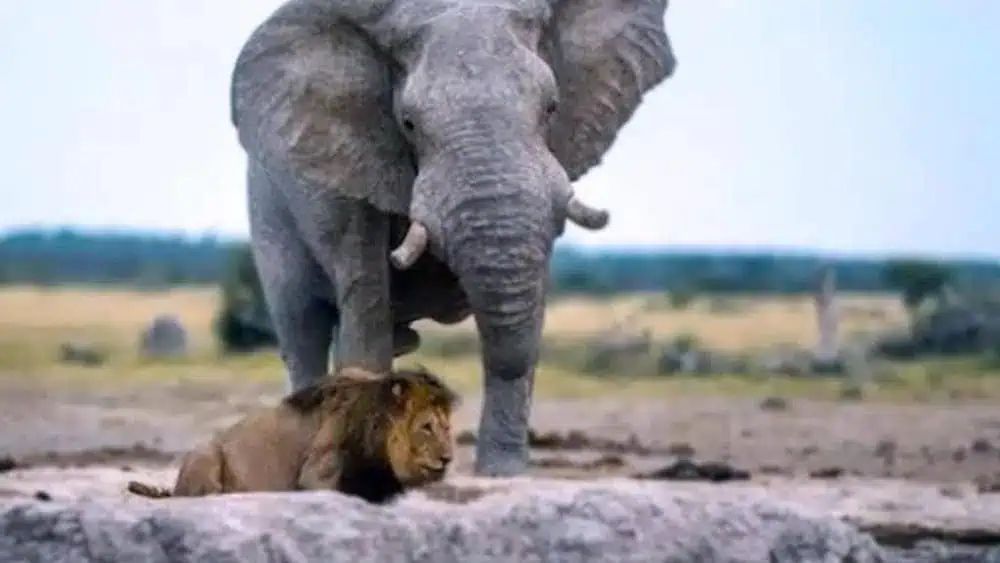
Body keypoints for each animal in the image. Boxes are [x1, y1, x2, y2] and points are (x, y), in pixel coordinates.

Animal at [125, 365, 459, 505]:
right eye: (426, 427)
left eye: (446, 428)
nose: (447, 459)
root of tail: (175, 487)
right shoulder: (316, 476)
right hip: (205, 454)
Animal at [229, 0, 677, 477]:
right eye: (407, 123)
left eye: (552, 108)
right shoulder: (349, 166)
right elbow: (366, 311)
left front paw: (504, 475)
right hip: (268, 210)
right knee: (301, 327)